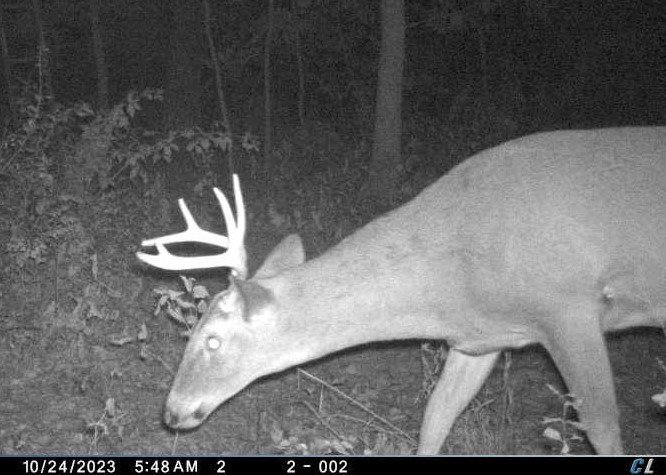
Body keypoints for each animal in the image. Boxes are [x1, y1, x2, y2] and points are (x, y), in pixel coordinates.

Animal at [137, 126, 666, 454]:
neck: (453, 276)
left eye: (211, 340)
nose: (172, 412)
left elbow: (603, 428)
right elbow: (435, 418)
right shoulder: (480, 340)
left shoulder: (569, 309)